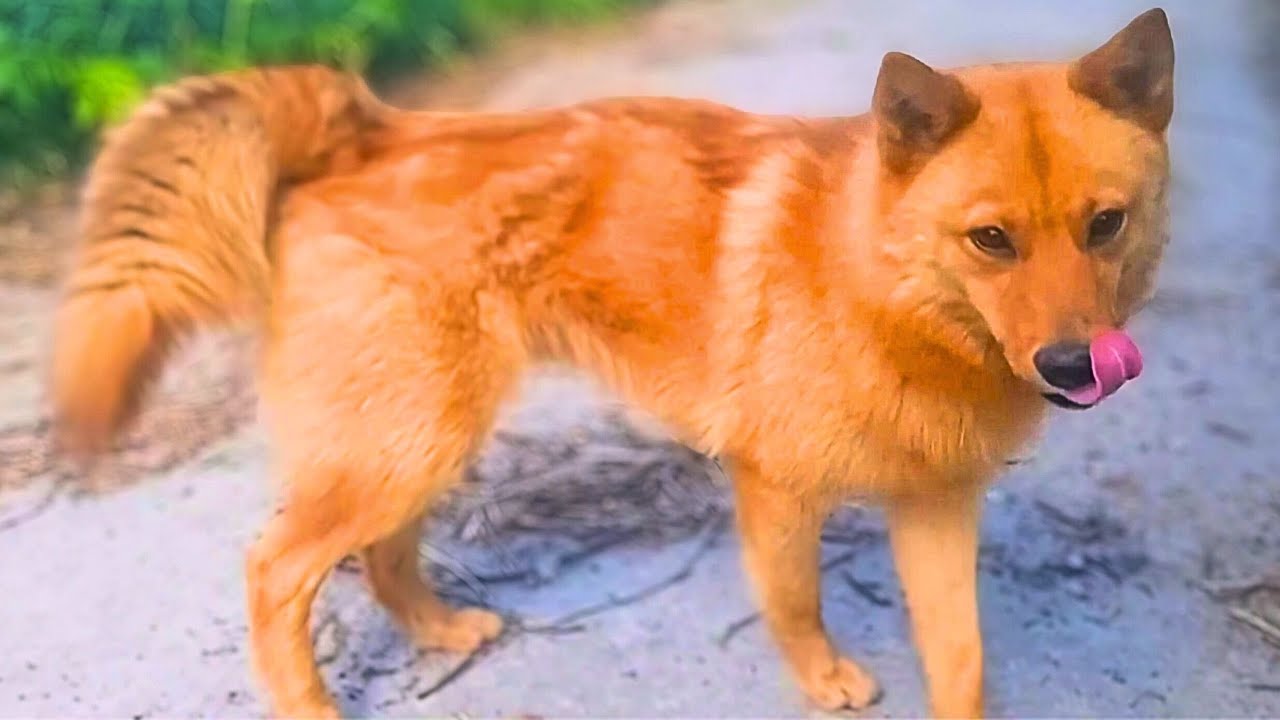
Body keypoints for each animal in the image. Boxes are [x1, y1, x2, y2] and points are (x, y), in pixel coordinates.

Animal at [48, 7, 1173, 719]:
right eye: (990, 240)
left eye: (1104, 224)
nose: (1075, 363)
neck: (886, 291)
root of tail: (368, 130)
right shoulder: (775, 490)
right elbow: (797, 604)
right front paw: (822, 679)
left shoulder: (936, 507)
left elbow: (963, 657)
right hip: (403, 438)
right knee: (276, 570)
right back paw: (310, 703)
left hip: (417, 436)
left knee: (380, 555)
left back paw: (437, 629)